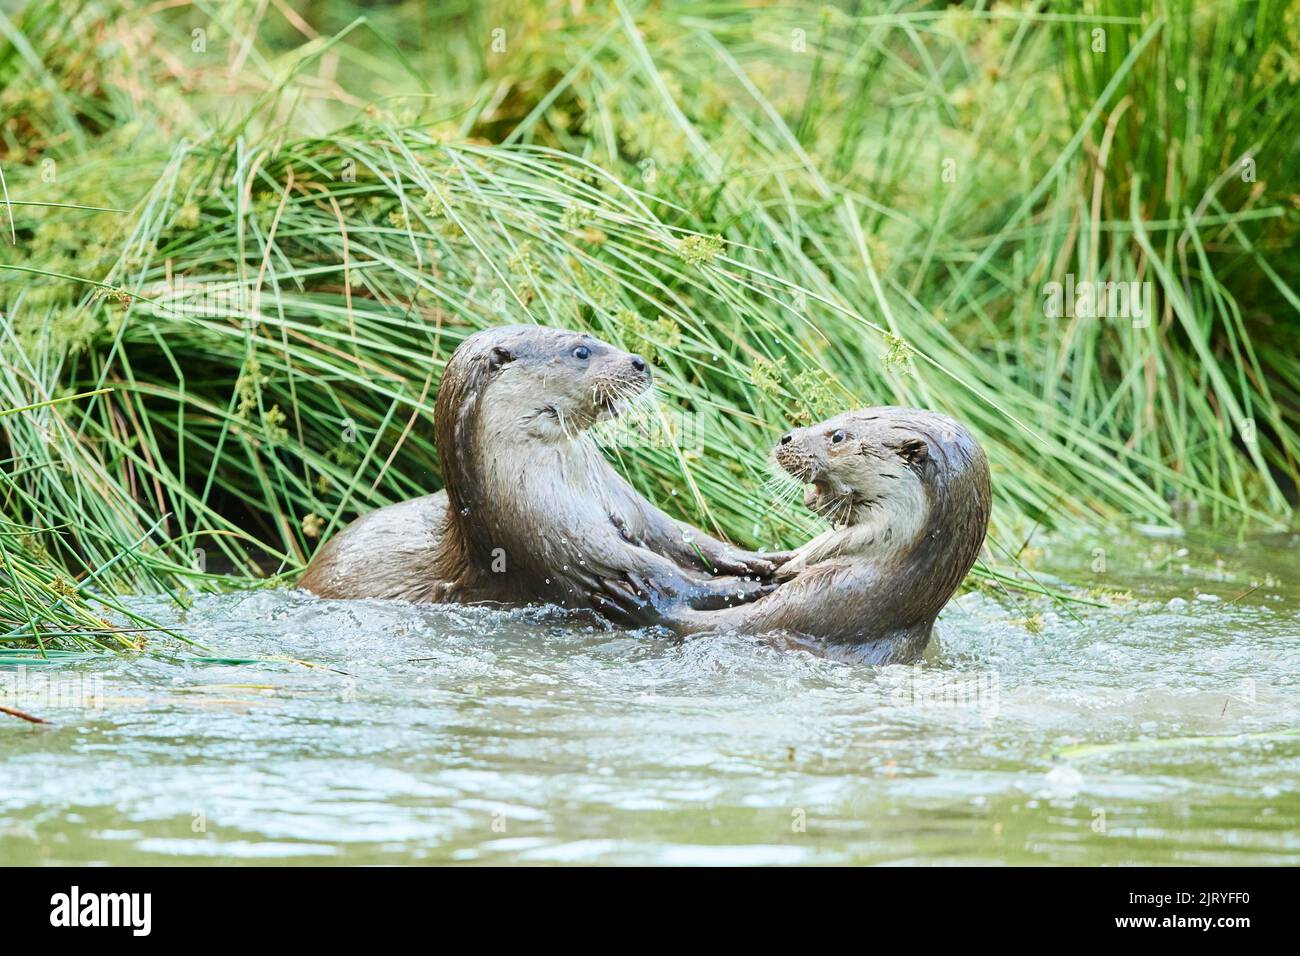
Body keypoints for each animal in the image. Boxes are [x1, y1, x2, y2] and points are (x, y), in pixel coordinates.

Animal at [299, 325, 784, 621]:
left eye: (592, 337)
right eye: (581, 351)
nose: (640, 362)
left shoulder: (631, 507)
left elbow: (683, 537)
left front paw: (761, 560)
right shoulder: (571, 549)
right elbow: (672, 578)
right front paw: (746, 588)